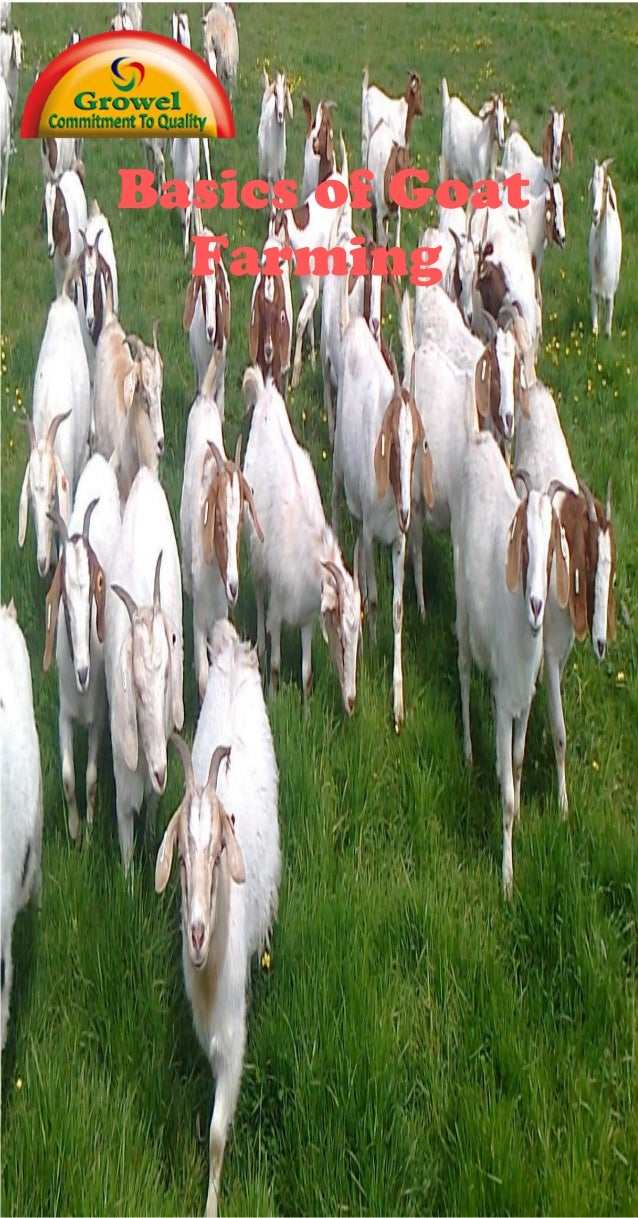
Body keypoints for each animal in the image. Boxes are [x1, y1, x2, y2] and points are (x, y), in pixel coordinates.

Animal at [243, 365, 361, 715]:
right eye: (341, 637)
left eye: (358, 636)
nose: (351, 702)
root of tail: (266, 394)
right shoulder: (279, 611)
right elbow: (277, 665)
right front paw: (273, 700)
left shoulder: (308, 616)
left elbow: (307, 674)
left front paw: (307, 715)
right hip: (254, 554)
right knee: (258, 592)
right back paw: (260, 643)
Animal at [452, 434, 569, 896]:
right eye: (523, 544)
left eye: (552, 548)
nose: (537, 605)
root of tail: (480, 440)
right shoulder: (505, 706)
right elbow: (504, 800)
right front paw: (506, 878)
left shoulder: (526, 697)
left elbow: (517, 763)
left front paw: (519, 799)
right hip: (462, 601)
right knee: (465, 669)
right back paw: (468, 750)